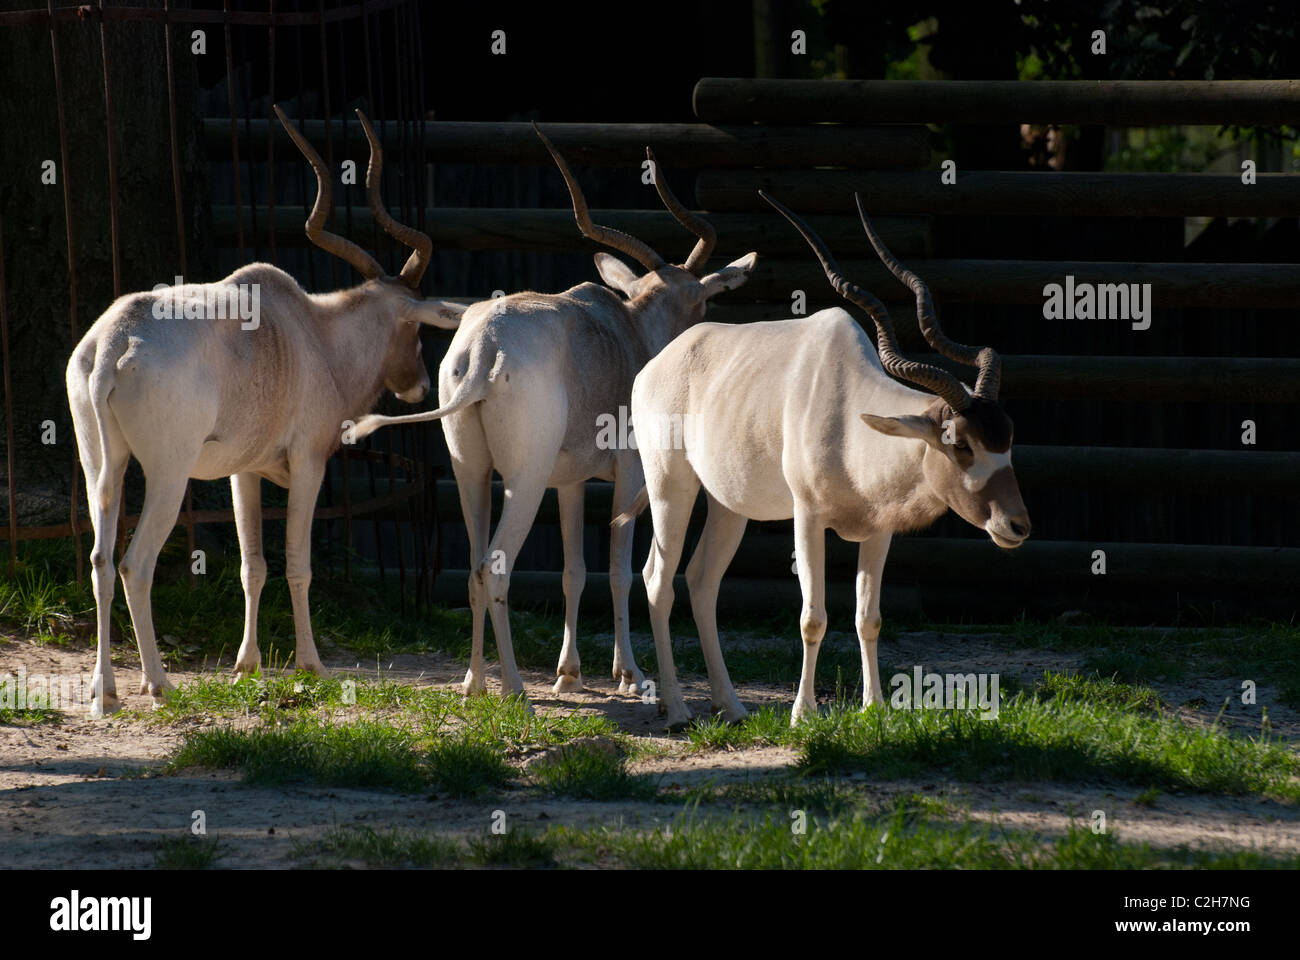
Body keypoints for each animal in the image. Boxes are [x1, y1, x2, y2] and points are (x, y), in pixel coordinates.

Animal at [65, 106, 468, 716]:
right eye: (418, 329)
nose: (419, 387)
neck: (315, 334)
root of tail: (114, 344)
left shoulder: (243, 473)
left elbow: (252, 566)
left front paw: (246, 666)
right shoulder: (308, 464)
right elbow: (297, 564)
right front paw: (312, 664)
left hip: (103, 470)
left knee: (100, 561)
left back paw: (106, 692)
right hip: (168, 474)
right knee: (135, 563)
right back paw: (158, 684)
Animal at [352, 126, 757, 707]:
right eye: (703, 302)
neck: (630, 330)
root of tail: (484, 348)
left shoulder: (568, 483)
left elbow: (574, 571)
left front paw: (569, 673)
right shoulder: (631, 474)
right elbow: (617, 570)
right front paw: (628, 674)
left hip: (473, 472)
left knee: (474, 566)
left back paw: (474, 680)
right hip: (524, 478)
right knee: (493, 566)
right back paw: (515, 688)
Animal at [617, 192, 1030, 730]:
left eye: (1007, 439)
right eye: (960, 444)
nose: (1017, 525)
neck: (852, 415)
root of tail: (659, 362)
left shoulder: (880, 530)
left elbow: (868, 617)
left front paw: (875, 708)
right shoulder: (808, 518)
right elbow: (813, 618)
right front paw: (802, 714)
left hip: (729, 505)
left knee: (703, 580)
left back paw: (730, 705)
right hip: (672, 488)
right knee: (657, 579)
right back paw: (676, 708)